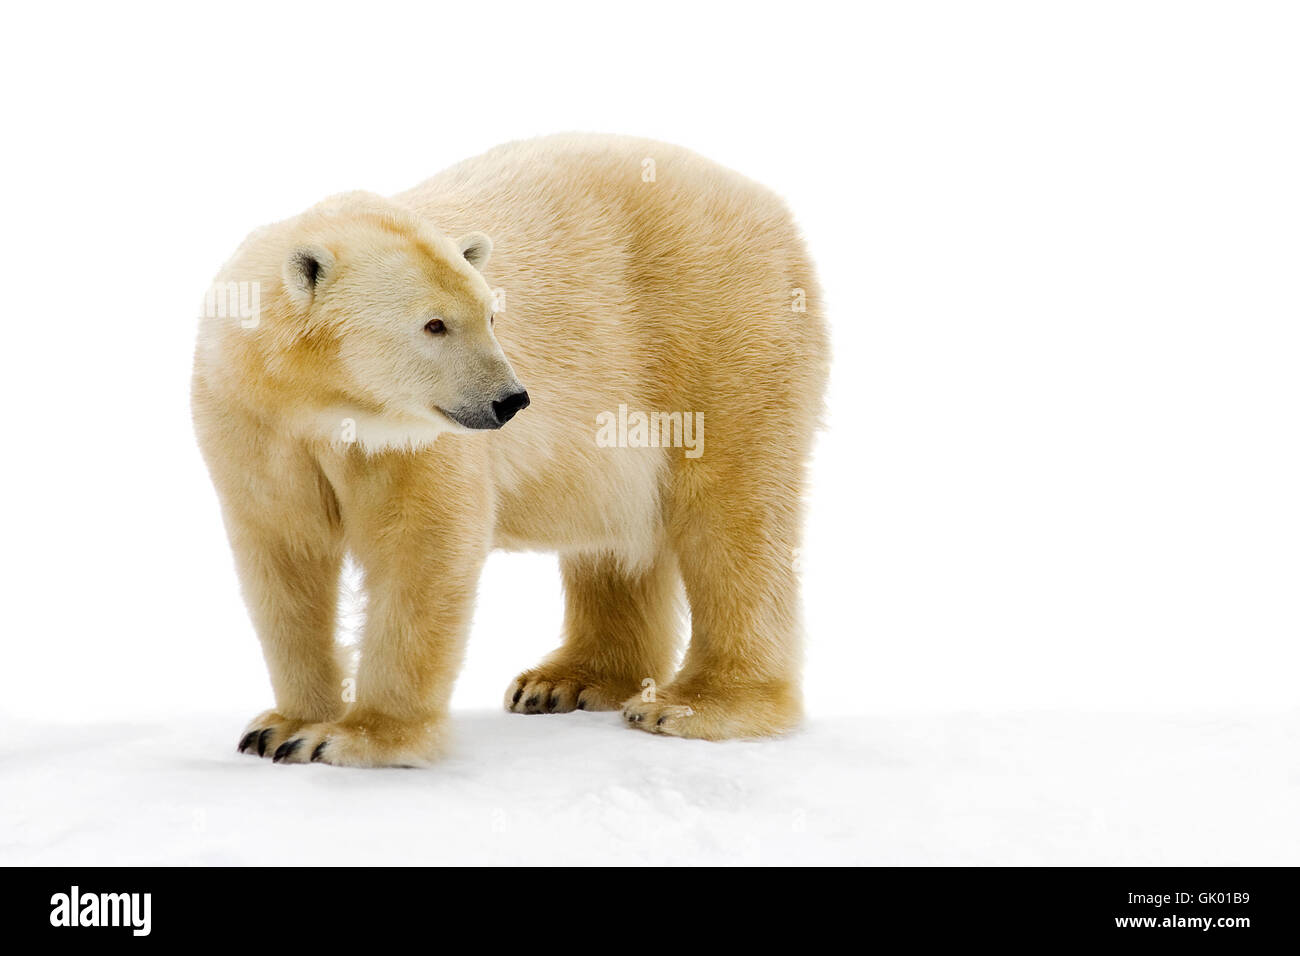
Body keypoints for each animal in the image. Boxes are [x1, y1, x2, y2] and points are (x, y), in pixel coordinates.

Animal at [192, 134, 829, 767]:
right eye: (434, 324)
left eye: (491, 315)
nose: (510, 400)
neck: (328, 406)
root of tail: (771, 205)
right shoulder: (257, 426)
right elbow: (285, 557)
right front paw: (281, 728)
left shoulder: (416, 441)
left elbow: (419, 550)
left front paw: (361, 738)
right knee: (617, 539)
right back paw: (566, 682)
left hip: (716, 331)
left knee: (732, 513)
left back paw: (696, 704)